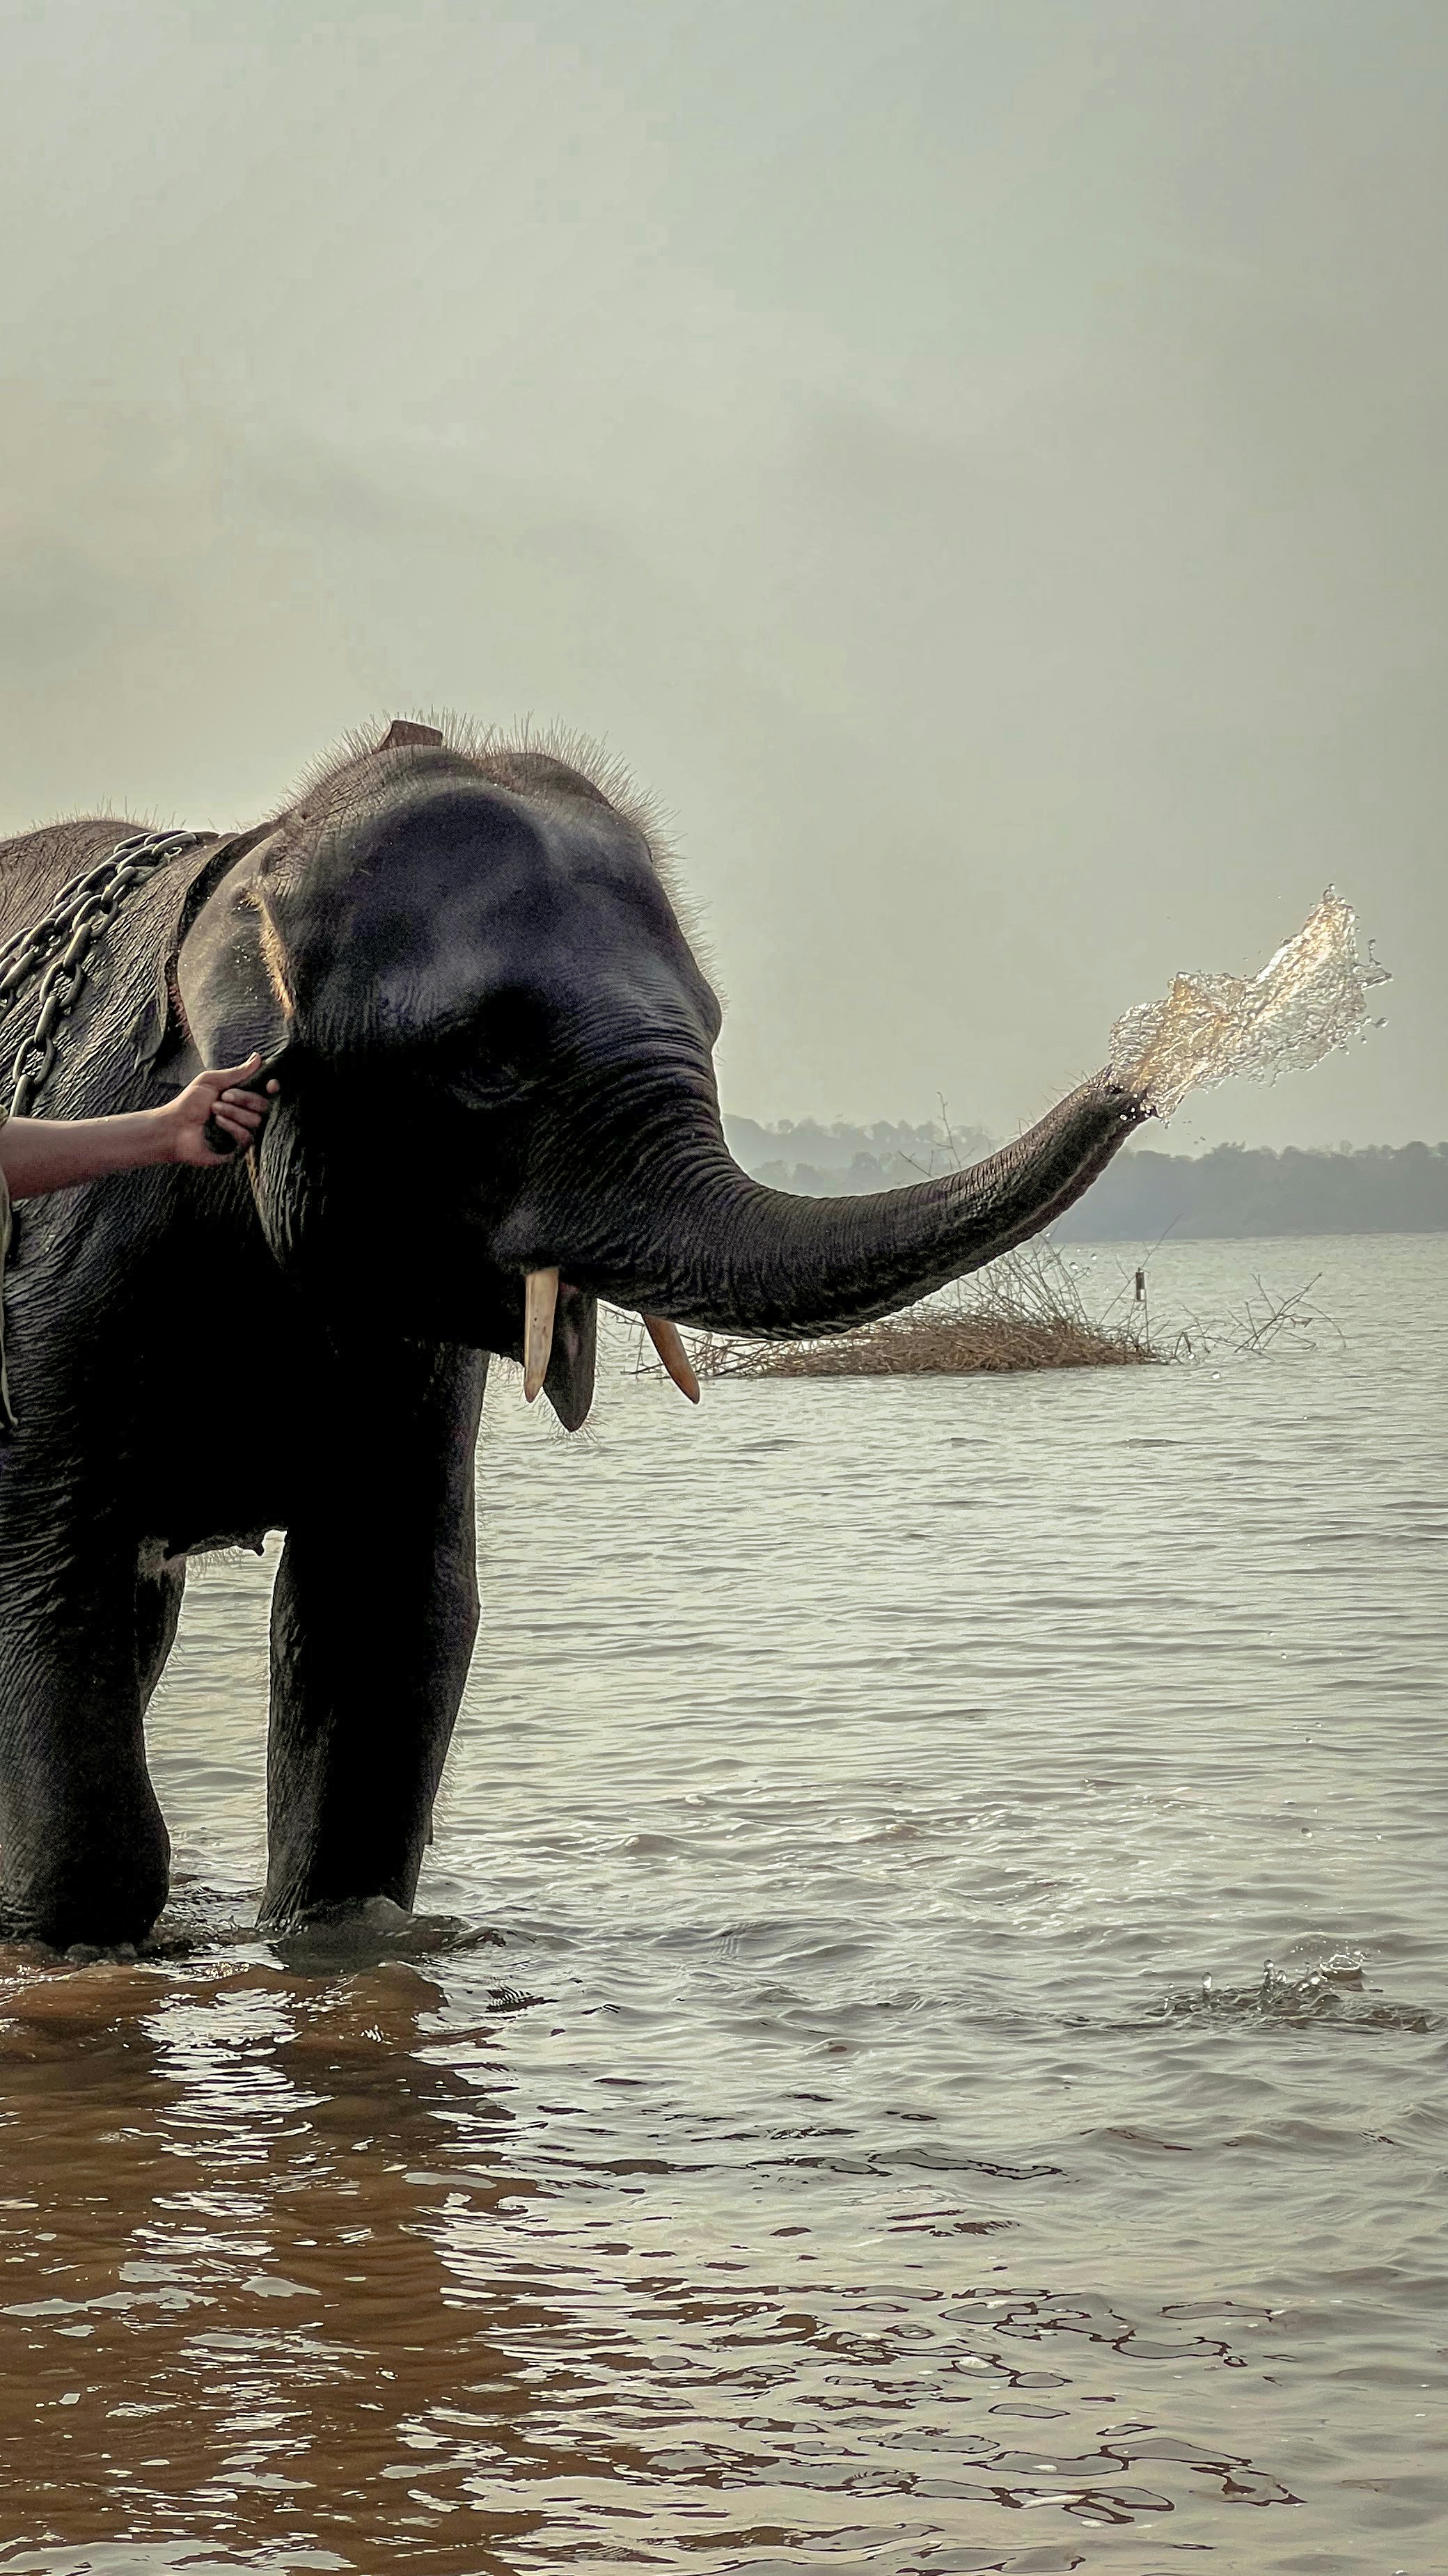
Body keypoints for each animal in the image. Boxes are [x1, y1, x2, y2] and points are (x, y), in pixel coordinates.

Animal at [0, 718, 1147, 1949]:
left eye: (713, 1024)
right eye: (489, 1059)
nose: (1142, 1066)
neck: (258, 855)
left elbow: (390, 1610)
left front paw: (341, 1939)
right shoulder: (60, 1274)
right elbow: (45, 1578)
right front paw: (69, 1938)